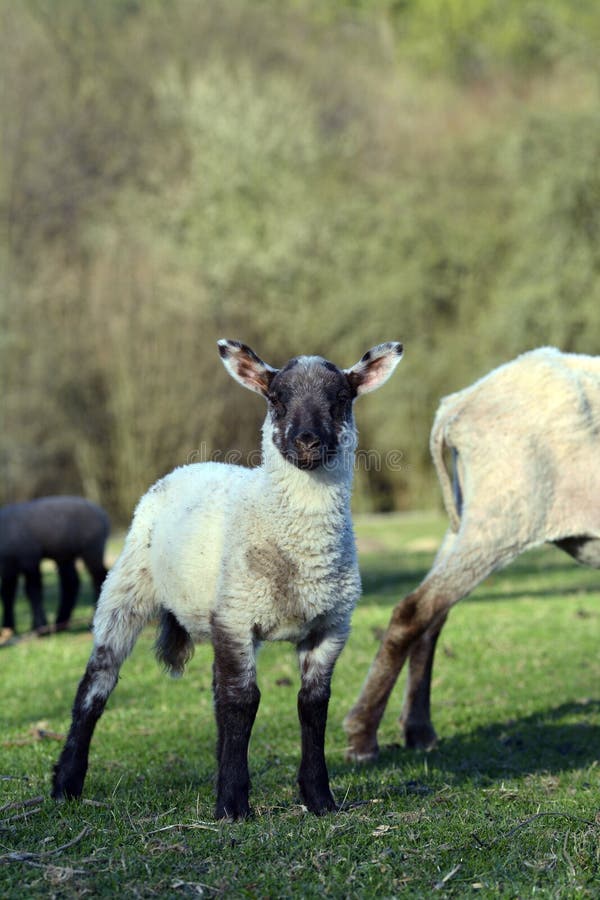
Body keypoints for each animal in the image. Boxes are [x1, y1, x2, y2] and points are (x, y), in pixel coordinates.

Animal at [0, 496, 109, 642]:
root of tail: (101, 513)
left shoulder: (29, 558)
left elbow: (33, 591)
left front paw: (39, 628)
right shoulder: (9, 568)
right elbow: (7, 595)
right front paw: (8, 629)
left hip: (92, 548)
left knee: (99, 576)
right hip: (65, 553)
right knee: (71, 582)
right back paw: (61, 623)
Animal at [52, 338, 404, 819]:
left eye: (341, 398)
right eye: (276, 398)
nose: (307, 440)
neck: (298, 553)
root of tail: (187, 468)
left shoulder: (330, 626)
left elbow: (312, 705)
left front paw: (319, 798)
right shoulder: (238, 619)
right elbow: (244, 702)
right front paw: (234, 805)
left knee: (216, 694)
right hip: (127, 587)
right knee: (96, 683)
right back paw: (66, 783)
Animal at [344, 346, 600, 762]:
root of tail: (458, 404)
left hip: (467, 514)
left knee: (434, 616)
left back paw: (418, 730)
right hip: (504, 514)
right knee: (416, 609)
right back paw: (362, 736)